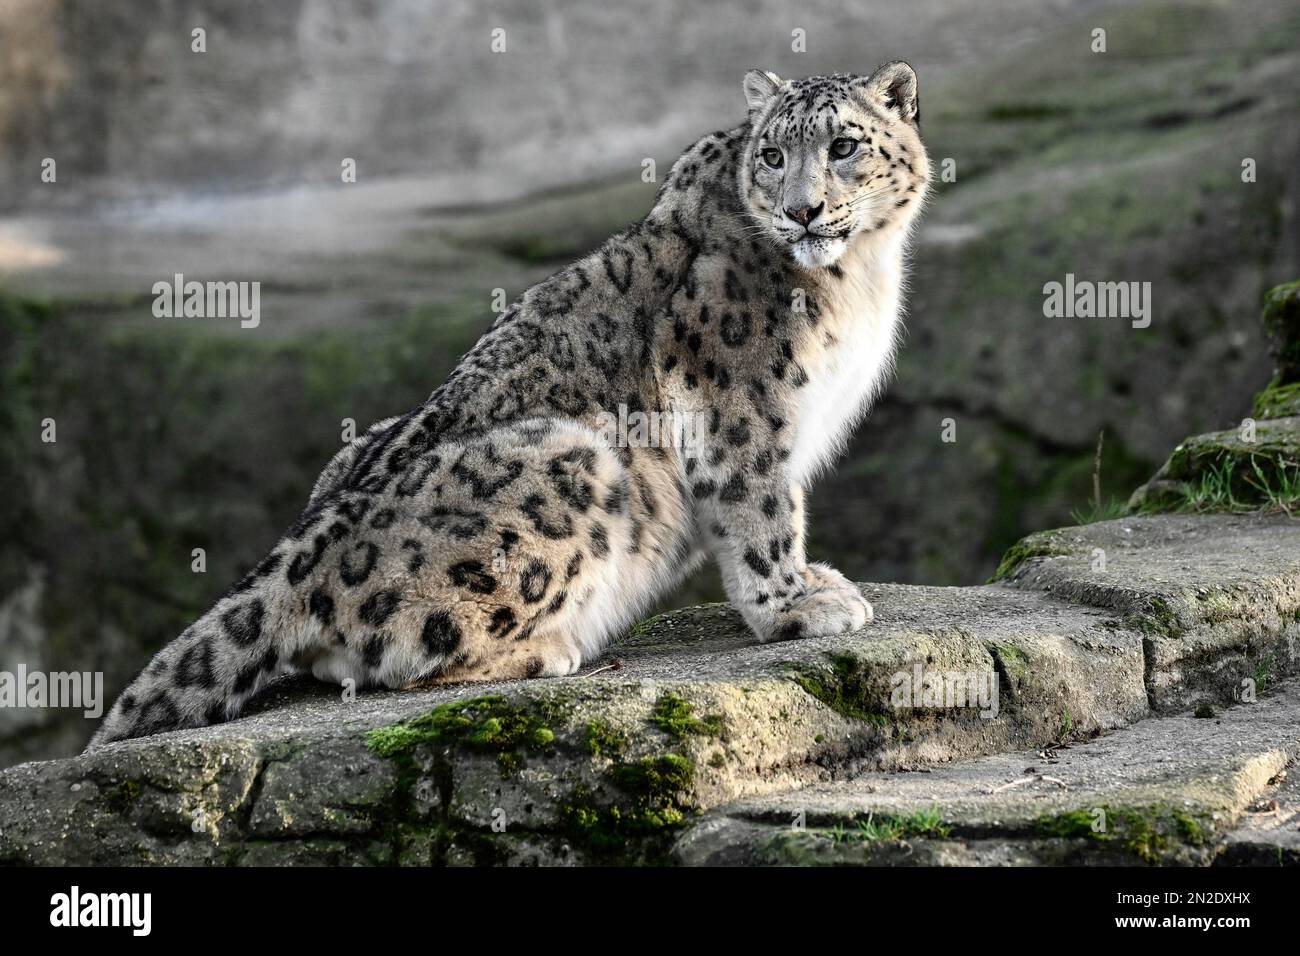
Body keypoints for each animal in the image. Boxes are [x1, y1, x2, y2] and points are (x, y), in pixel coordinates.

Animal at [88, 61, 930, 748]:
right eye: (774, 155)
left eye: (844, 146)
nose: (803, 211)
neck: (861, 275)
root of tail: (304, 546)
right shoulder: (741, 404)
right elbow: (761, 510)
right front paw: (794, 605)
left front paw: (815, 582)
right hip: (574, 458)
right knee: (402, 657)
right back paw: (551, 648)